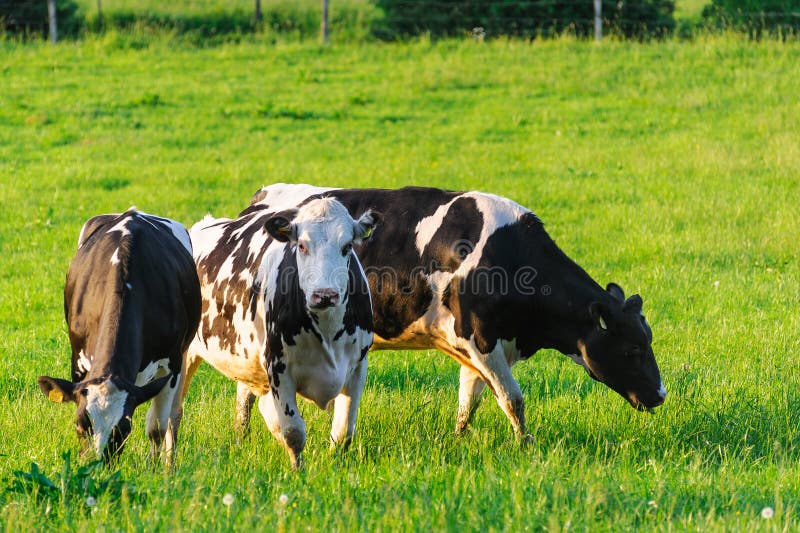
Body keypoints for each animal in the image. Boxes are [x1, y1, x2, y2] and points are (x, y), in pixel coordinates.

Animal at [37, 210, 201, 464]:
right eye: (80, 424)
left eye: (123, 430)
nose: (94, 466)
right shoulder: (78, 363)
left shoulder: (171, 364)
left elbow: (157, 428)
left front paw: (154, 469)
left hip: (184, 352)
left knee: (173, 415)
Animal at [184, 197, 379, 469]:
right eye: (302, 246)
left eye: (347, 246)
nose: (325, 294)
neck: (327, 328)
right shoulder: (278, 369)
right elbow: (293, 431)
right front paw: (298, 471)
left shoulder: (358, 366)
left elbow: (343, 432)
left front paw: (335, 466)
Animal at [234, 184, 666, 443]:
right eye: (632, 349)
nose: (660, 395)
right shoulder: (480, 338)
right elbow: (513, 398)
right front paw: (525, 445)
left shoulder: (477, 347)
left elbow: (469, 401)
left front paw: (459, 439)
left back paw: (241, 437)